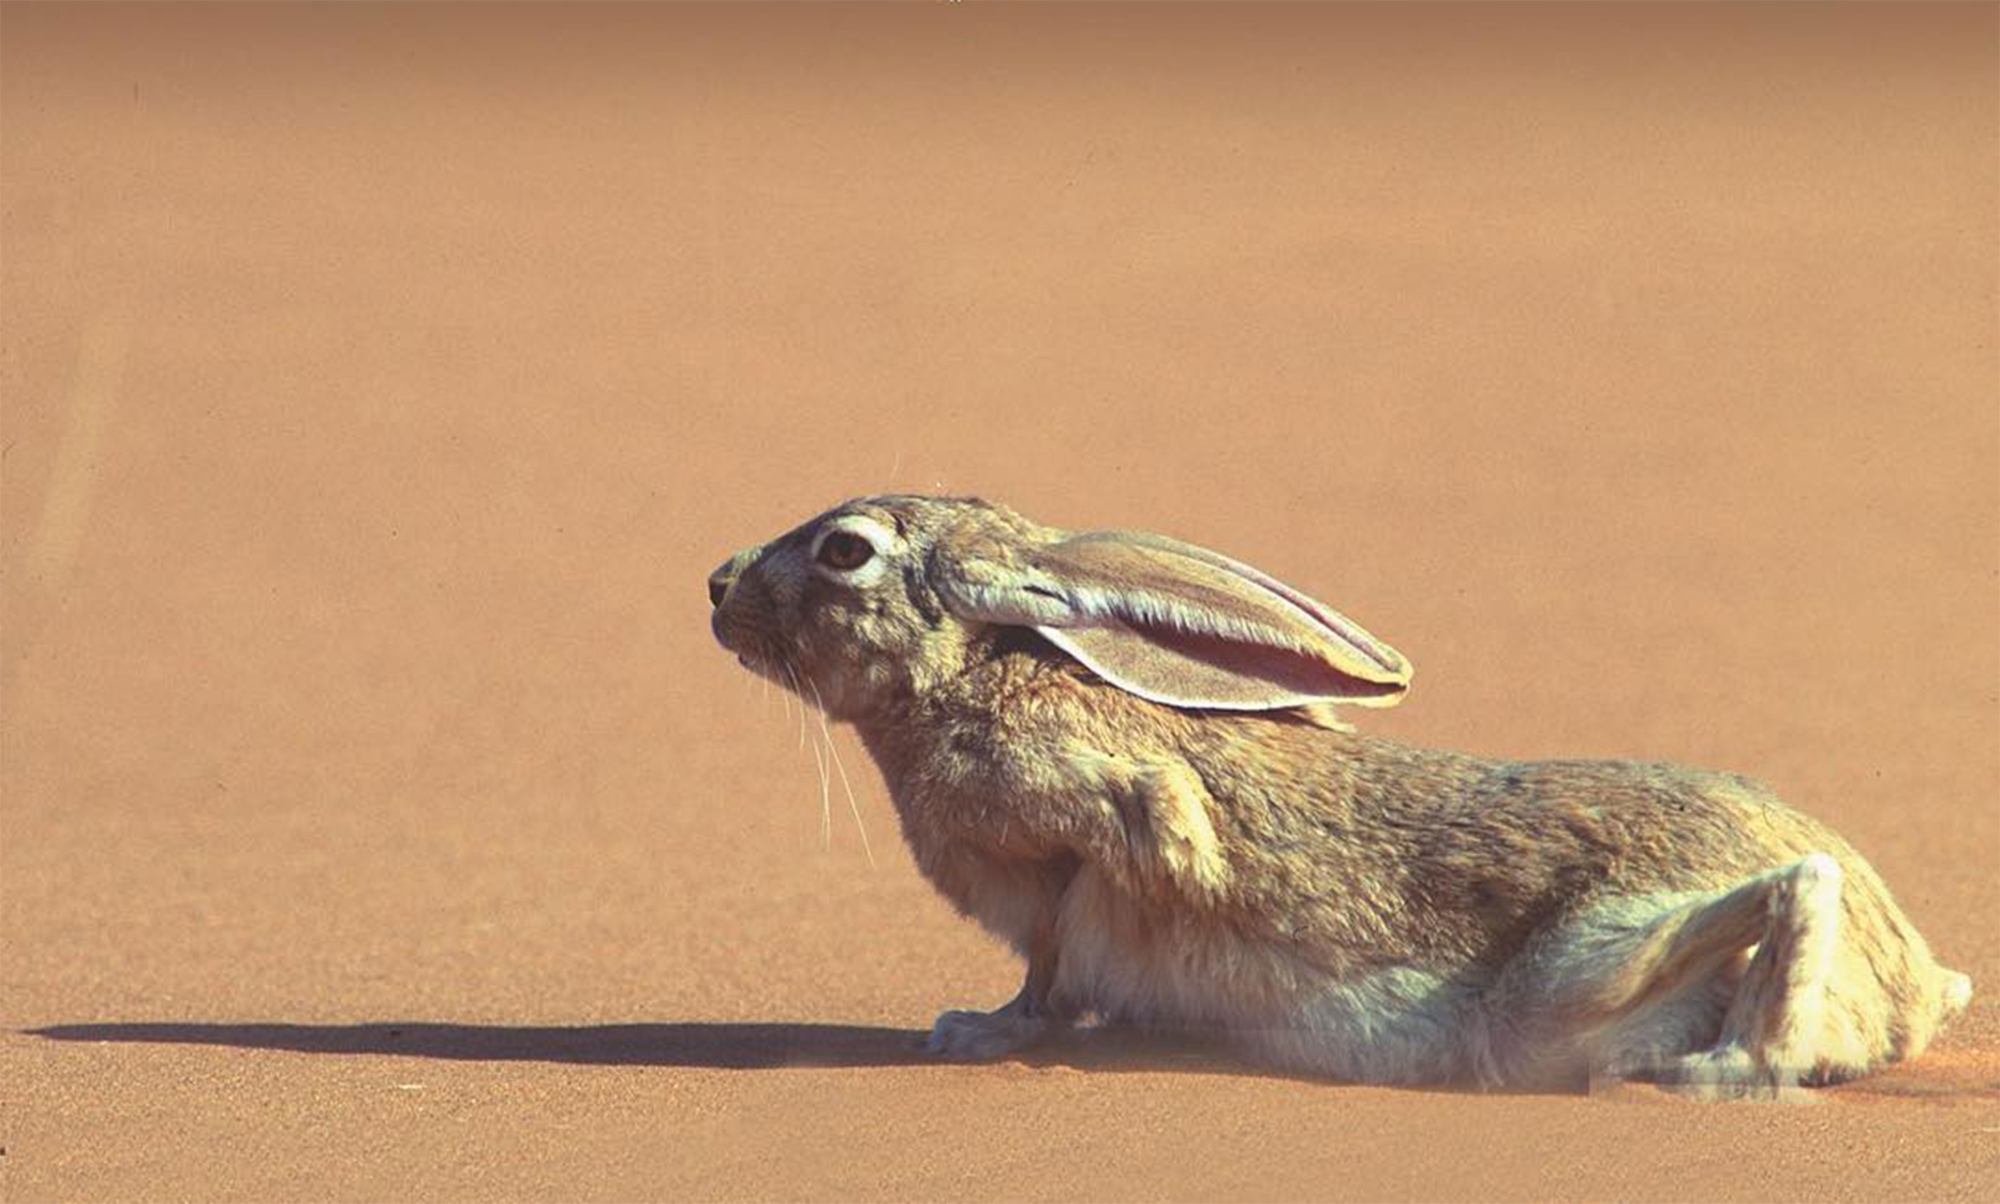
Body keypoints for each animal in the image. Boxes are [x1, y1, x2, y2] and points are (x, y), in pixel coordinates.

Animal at [707, 494, 1973, 1096]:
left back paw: (1714, 1073)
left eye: (845, 551)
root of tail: (1904, 981)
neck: (960, 676)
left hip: (1567, 982)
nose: (716, 583)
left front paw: (973, 1033)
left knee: (1788, 896)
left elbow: (1118, 874)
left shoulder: (1068, 841)